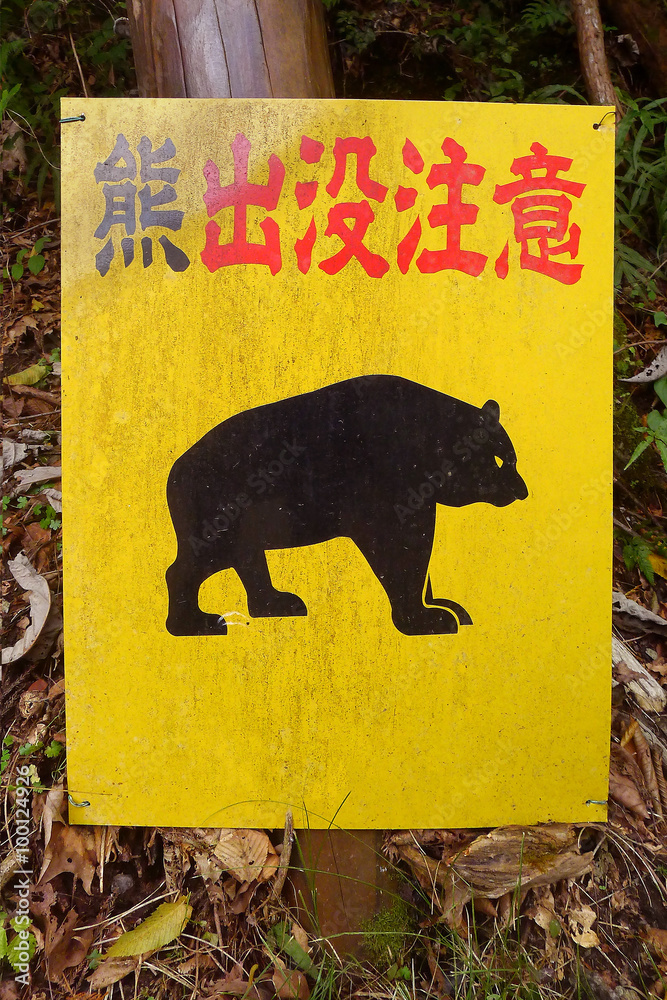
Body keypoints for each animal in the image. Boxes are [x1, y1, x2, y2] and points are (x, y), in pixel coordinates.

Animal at [165, 374, 528, 637]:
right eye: (499, 460)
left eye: (512, 458)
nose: (522, 492)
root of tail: (174, 471)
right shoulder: (384, 504)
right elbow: (402, 557)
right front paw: (425, 619)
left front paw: (442, 608)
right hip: (218, 520)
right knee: (185, 568)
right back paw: (194, 624)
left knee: (249, 560)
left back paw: (277, 602)